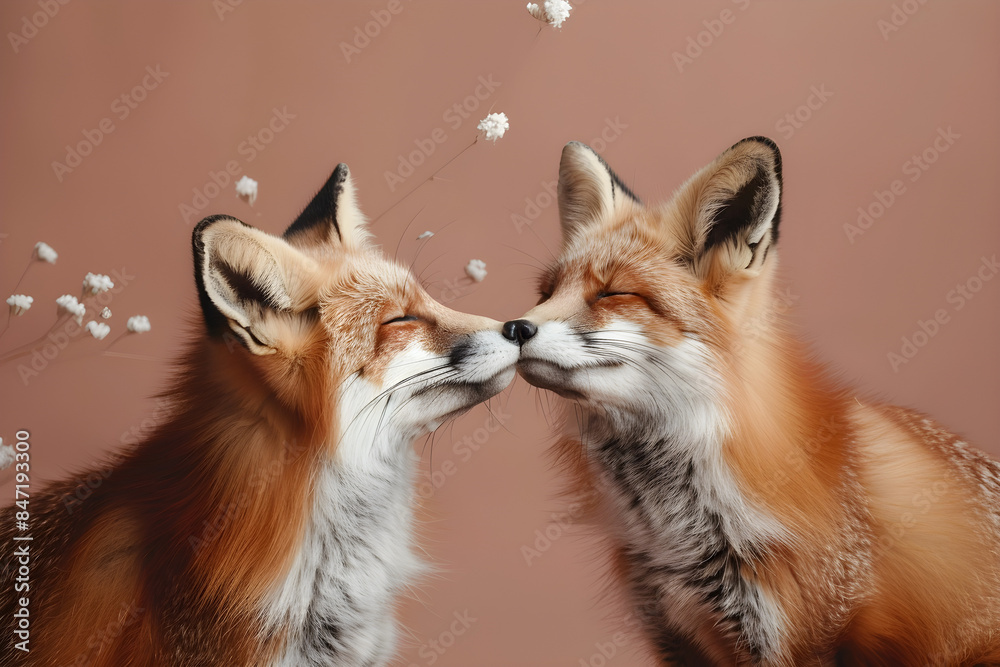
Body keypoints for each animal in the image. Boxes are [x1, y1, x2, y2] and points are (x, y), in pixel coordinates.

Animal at [503, 138, 1000, 665]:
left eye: (613, 293)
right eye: (546, 292)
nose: (513, 328)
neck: (676, 538)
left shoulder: (800, 637)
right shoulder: (674, 633)